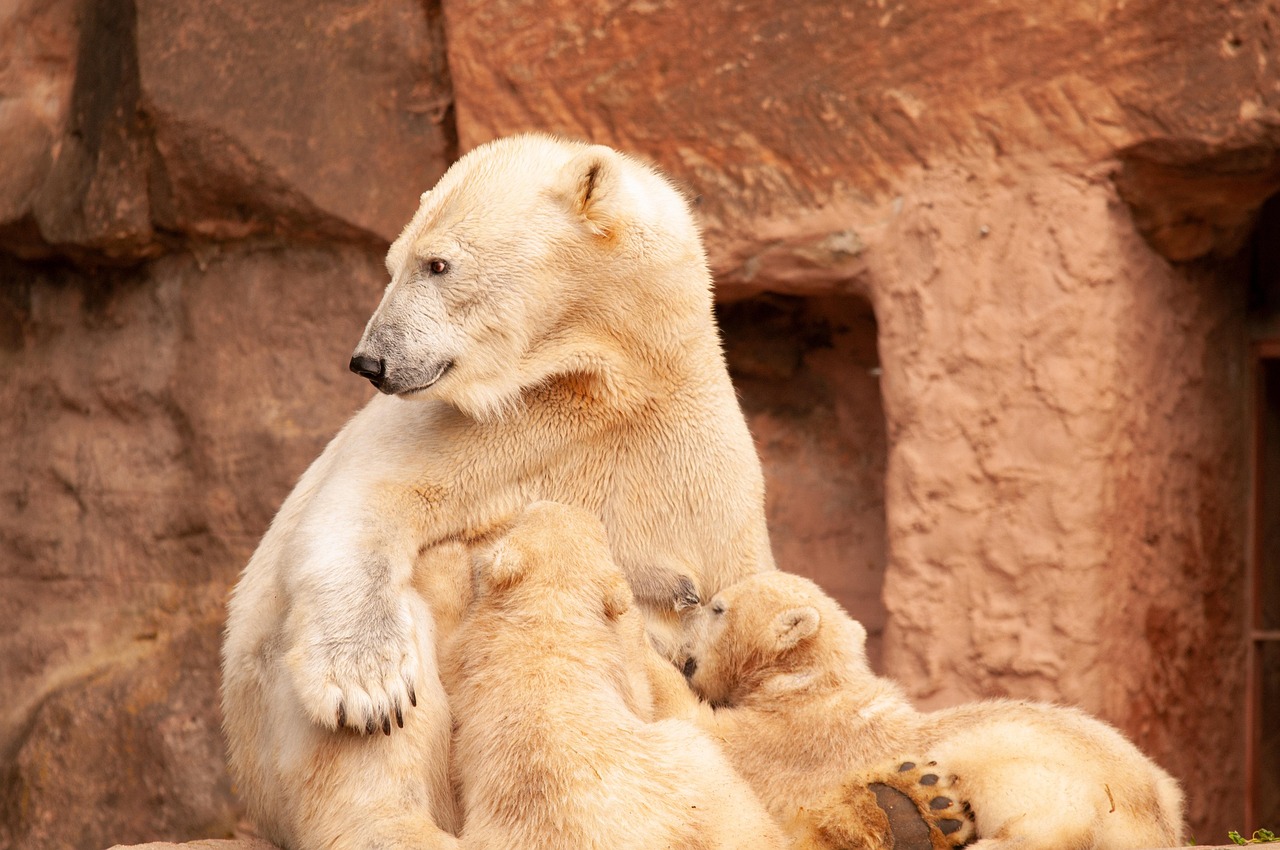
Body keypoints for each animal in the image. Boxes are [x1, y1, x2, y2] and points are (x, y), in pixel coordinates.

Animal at [679, 571, 1187, 850]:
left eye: (718, 608)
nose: (692, 605)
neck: (811, 682)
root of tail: (1151, 817)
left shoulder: (802, 738)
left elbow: (714, 736)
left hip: (1030, 753)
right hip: (1161, 785)